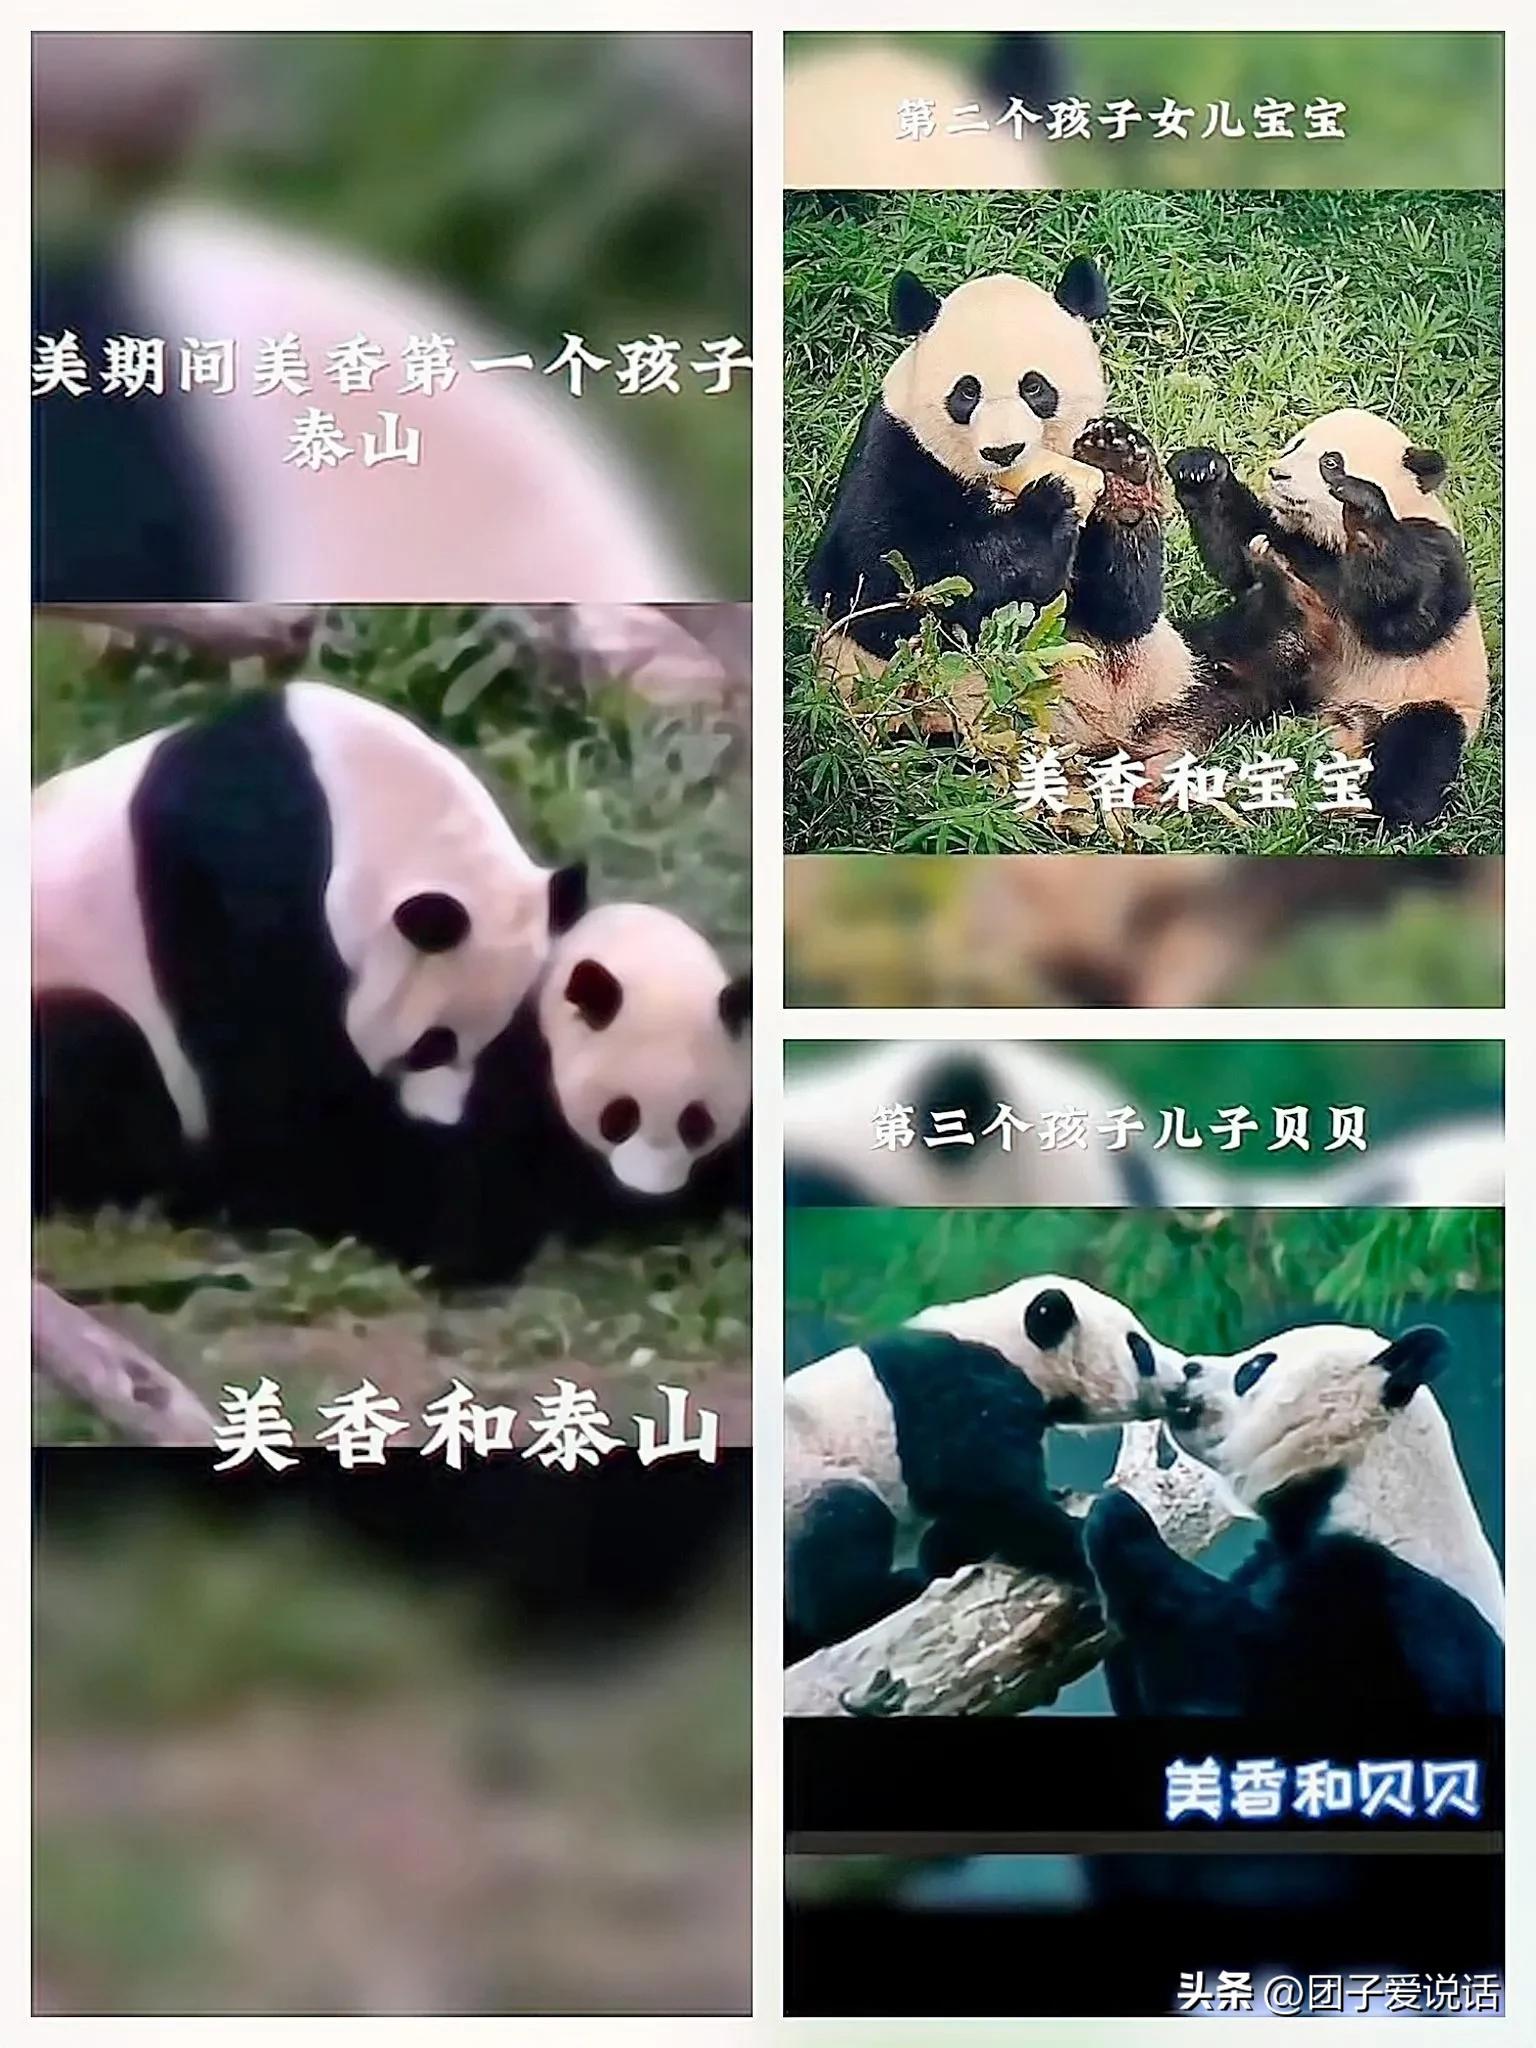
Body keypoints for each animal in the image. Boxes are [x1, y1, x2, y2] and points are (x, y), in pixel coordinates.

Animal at [33, 680, 586, 1248]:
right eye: (433, 1044)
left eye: (486, 1039)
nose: (443, 1118)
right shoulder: (238, 887)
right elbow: (282, 1086)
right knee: (92, 1055)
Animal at [784, 1275, 1187, 1660]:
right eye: (1139, 1348)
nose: (1184, 1377)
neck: (1004, 1343)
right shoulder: (958, 1389)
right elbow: (988, 1494)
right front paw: (1079, 1538)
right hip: (807, 1484)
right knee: (843, 1525)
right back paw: (892, 1592)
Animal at [1156, 408, 1489, 826]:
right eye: (1295, 445)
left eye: (1331, 462)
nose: (1278, 474)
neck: (1331, 541)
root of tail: (1346, 719)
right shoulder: (1295, 547)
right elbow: (1241, 551)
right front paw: (1199, 470)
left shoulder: (1434, 549)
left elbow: (1408, 619)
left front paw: (1362, 509)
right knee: (1214, 667)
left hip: (1431, 700)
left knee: (1419, 754)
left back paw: (1379, 812)